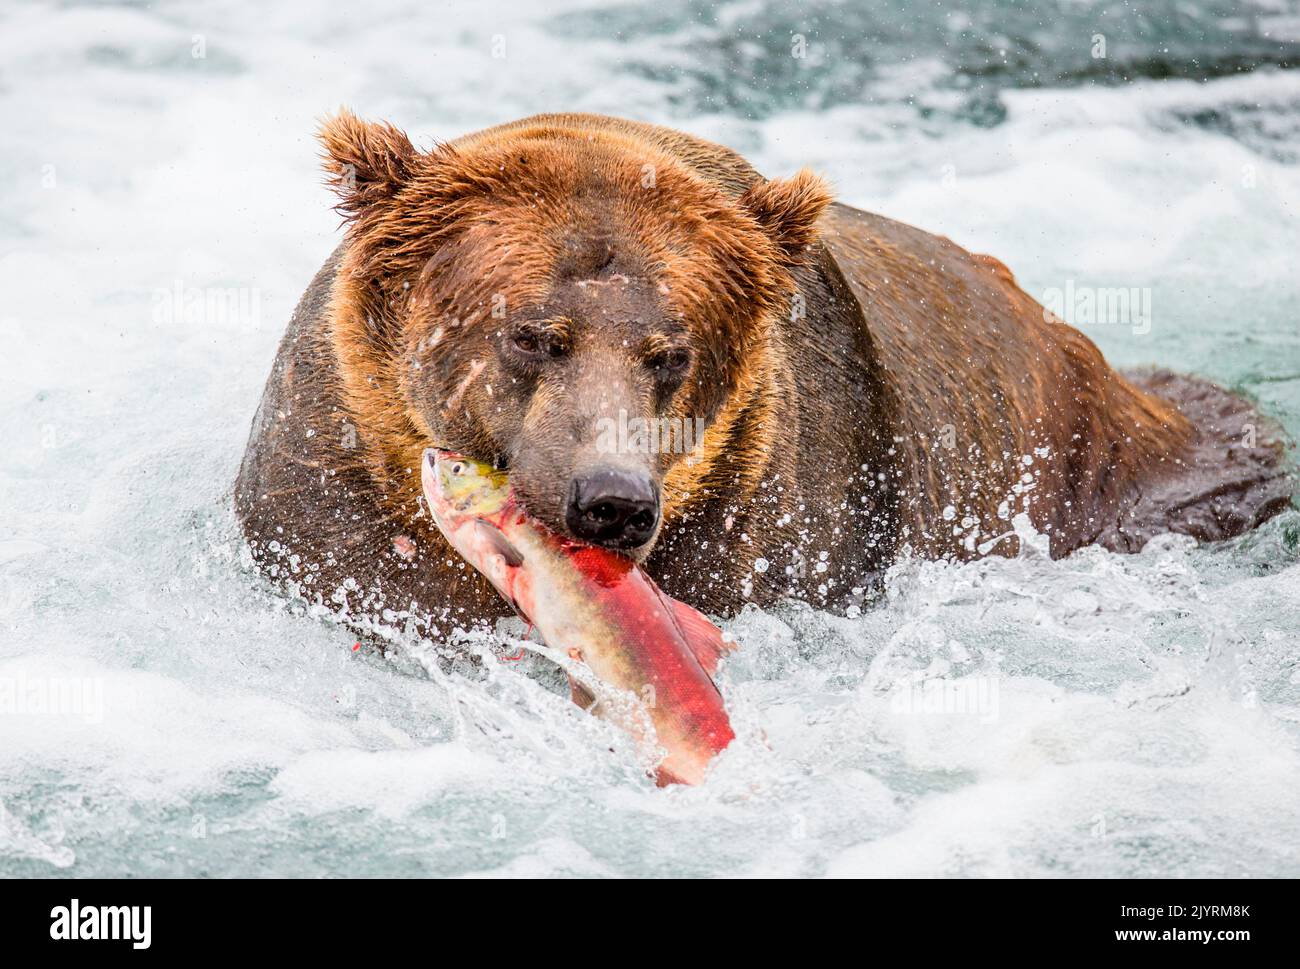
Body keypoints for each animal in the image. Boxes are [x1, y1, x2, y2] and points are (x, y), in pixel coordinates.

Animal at [235, 110, 1293, 630]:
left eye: (672, 351)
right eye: (533, 334)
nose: (610, 499)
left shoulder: (778, 510)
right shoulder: (328, 485)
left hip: (1092, 469)